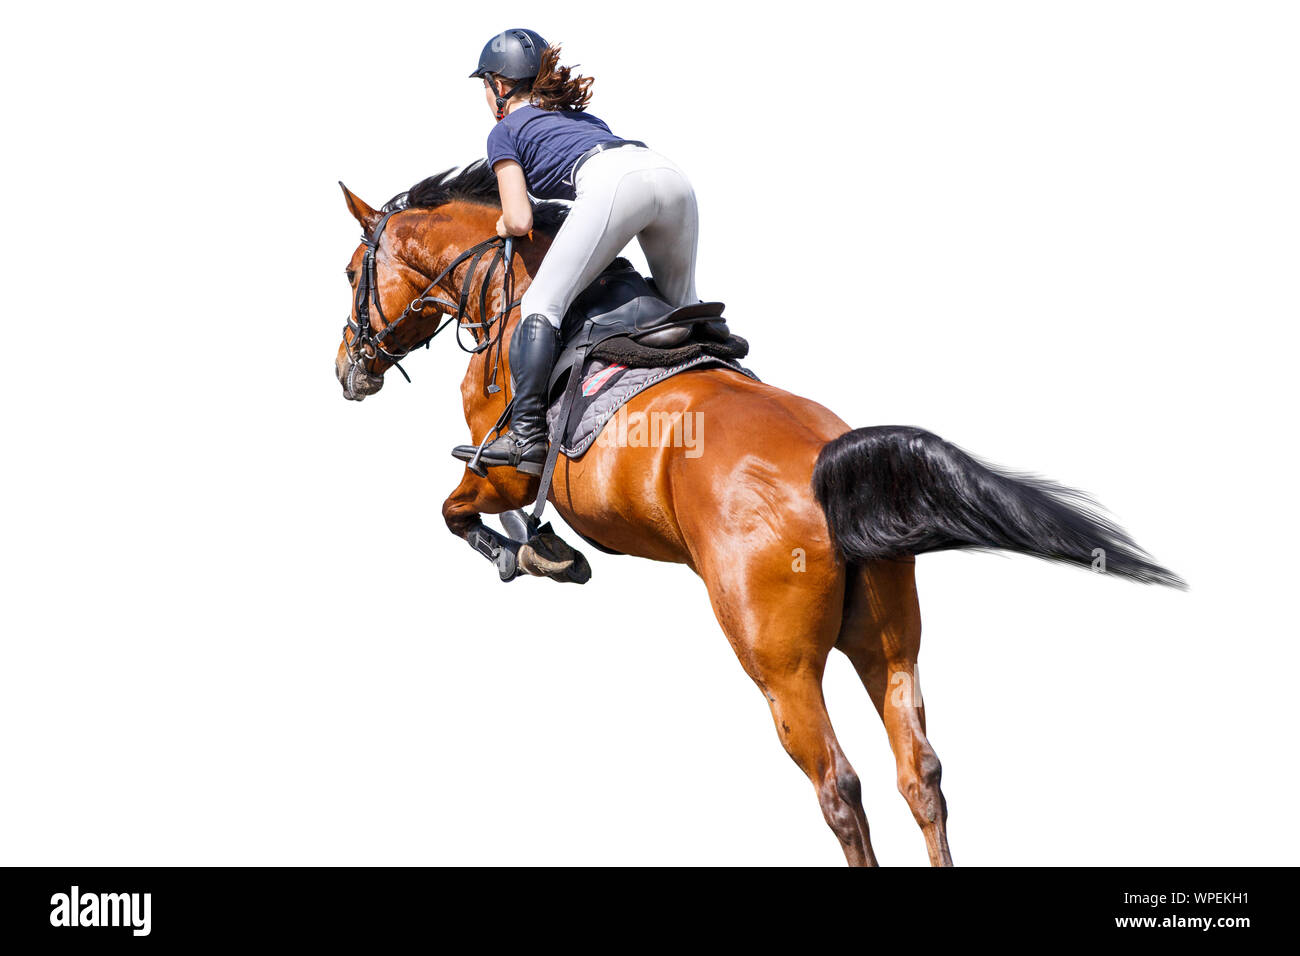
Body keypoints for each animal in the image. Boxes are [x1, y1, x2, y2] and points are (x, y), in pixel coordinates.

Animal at [333, 161, 1183, 866]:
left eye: (349, 273)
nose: (349, 370)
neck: (511, 291)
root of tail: (832, 467)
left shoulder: (506, 471)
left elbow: (456, 510)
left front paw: (538, 554)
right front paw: (540, 551)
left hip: (779, 664)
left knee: (839, 785)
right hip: (889, 646)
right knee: (921, 775)